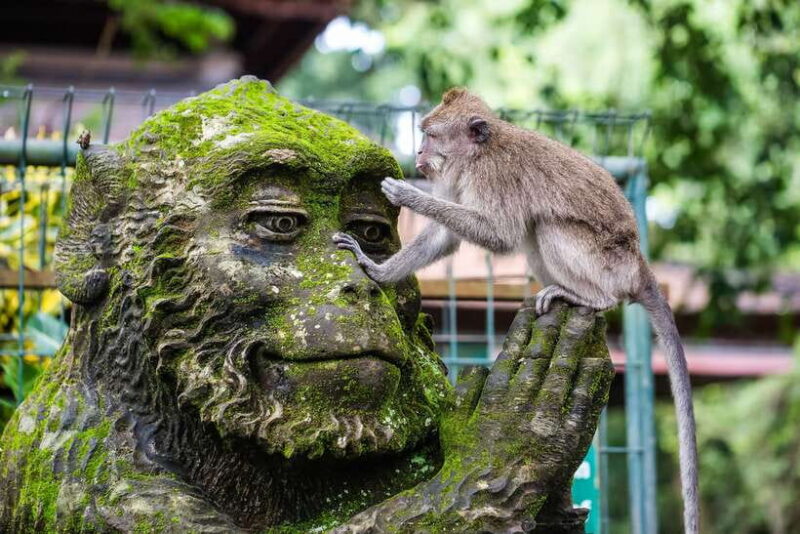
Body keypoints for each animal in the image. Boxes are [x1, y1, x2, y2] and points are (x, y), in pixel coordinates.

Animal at [333, 88, 699, 534]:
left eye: (431, 135)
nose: (419, 151)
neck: (479, 154)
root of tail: (639, 264)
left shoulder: (492, 176)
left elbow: (500, 235)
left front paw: (408, 195)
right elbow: (447, 239)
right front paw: (377, 270)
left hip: (607, 265)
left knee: (545, 226)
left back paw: (591, 298)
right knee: (533, 232)